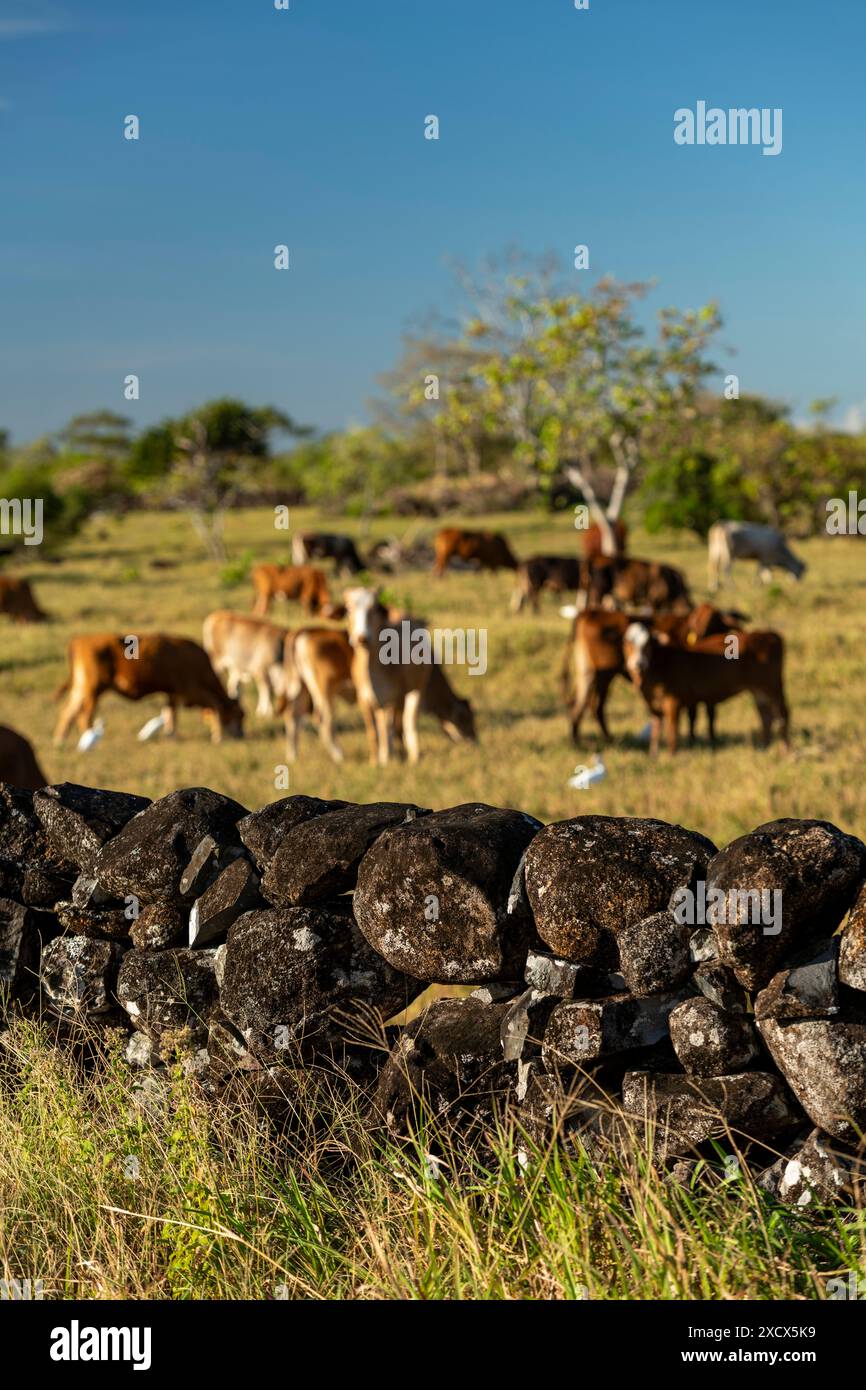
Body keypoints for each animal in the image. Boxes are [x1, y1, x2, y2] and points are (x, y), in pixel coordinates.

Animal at [53, 633, 244, 745]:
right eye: (240, 715)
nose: (241, 735)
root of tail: (79, 640)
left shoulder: (173, 693)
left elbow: (170, 714)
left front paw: (171, 735)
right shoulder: (191, 691)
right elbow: (215, 706)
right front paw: (218, 736)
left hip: (82, 687)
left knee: (68, 712)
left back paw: (60, 740)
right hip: (92, 688)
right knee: (84, 715)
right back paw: (88, 737)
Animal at [282, 627, 475, 764]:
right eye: (466, 719)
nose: (475, 742)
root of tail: (303, 632)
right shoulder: (402, 697)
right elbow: (398, 725)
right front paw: (401, 753)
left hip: (302, 688)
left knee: (293, 716)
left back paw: (293, 756)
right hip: (324, 690)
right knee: (323, 720)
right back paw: (339, 756)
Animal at [565, 603, 748, 746]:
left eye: (712, 624)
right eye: (695, 625)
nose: (701, 638)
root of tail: (589, 613)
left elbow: (709, 712)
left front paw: (710, 737)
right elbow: (694, 712)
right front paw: (694, 738)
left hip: (587, 671)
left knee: (579, 701)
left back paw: (576, 739)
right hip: (604, 673)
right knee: (595, 706)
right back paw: (606, 738)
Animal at [623, 622, 789, 755]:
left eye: (647, 643)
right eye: (627, 643)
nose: (638, 663)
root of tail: (769, 634)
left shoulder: (673, 701)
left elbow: (671, 729)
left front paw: (671, 754)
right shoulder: (653, 705)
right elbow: (656, 730)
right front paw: (653, 755)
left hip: (773, 686)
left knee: (782, 715)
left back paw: (787, 750)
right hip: (758, 690)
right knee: (766, 716)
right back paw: (764, 747)